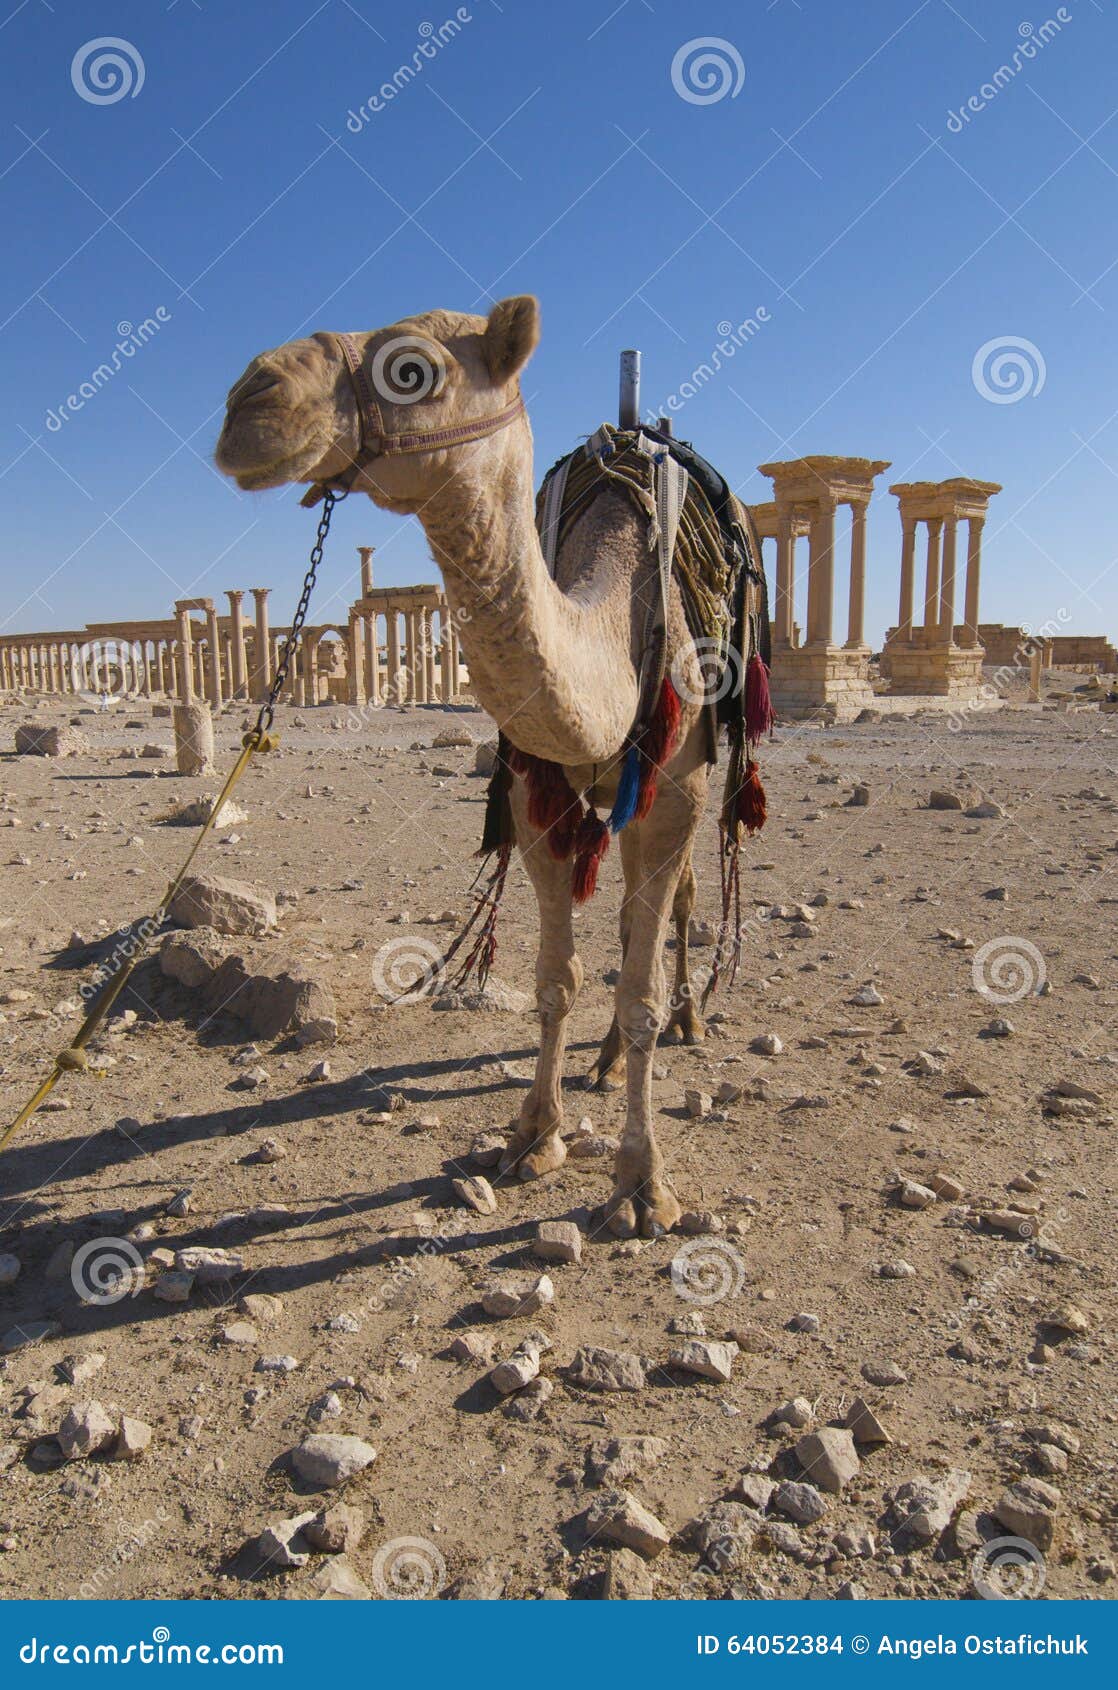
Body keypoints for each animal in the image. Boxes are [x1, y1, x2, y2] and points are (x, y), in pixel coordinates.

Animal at [215, 297, 763, 1238]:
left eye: (413, 370)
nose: (250, 401)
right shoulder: (539, 794)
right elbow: (555, 980)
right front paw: (531, 1139)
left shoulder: (673, 792)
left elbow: (641, 988)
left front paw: (642, 1185)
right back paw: (603, 1060)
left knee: (682, 906)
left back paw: (689, 1017)